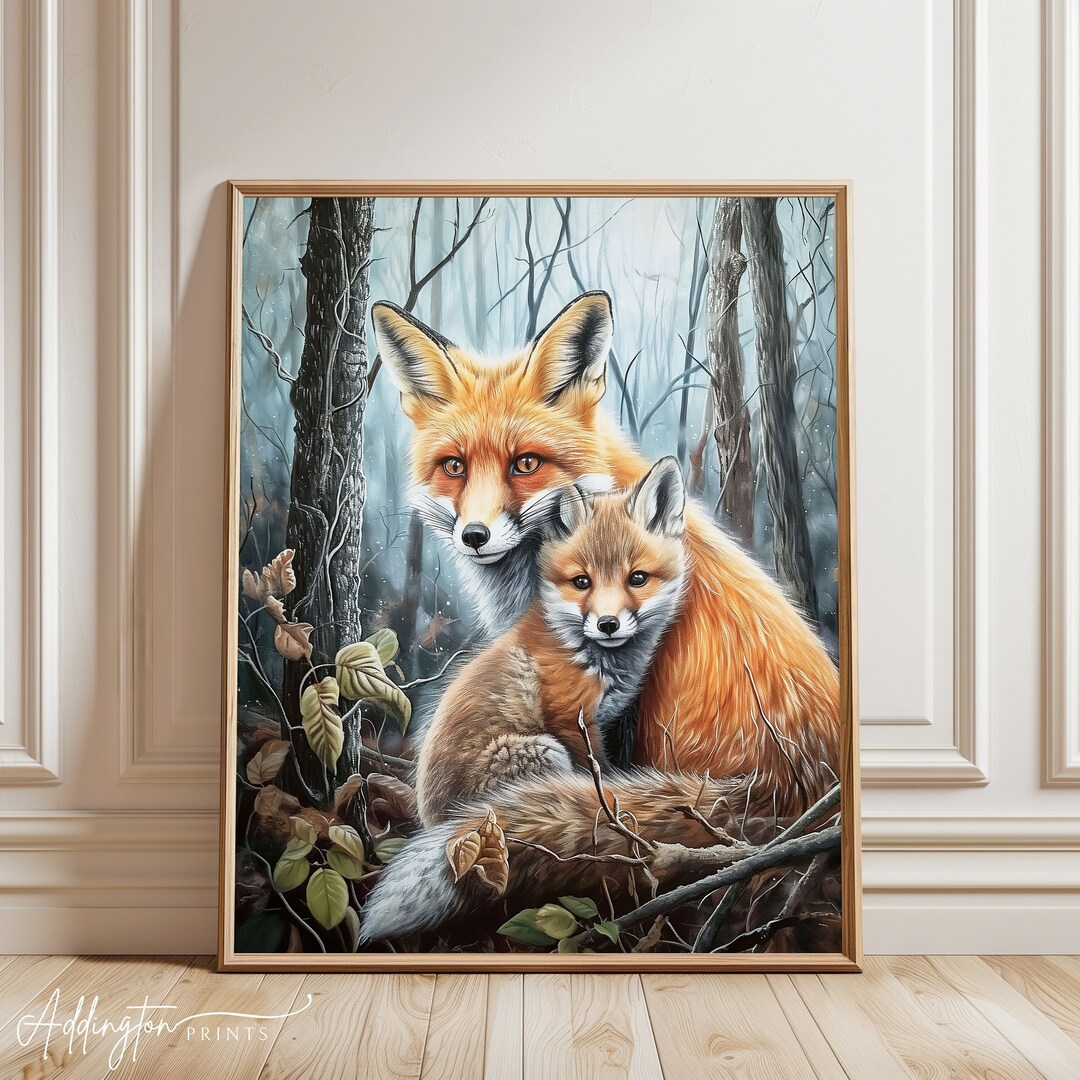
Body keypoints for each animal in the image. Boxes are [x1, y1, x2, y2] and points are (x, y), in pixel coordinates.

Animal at [414, 456, 689, 828]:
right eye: (582, 582)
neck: (582, 651)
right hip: (546, 750)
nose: (608, 624)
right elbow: (598, 776)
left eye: (638, 578)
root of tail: (433, 817)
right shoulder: (573, 723)